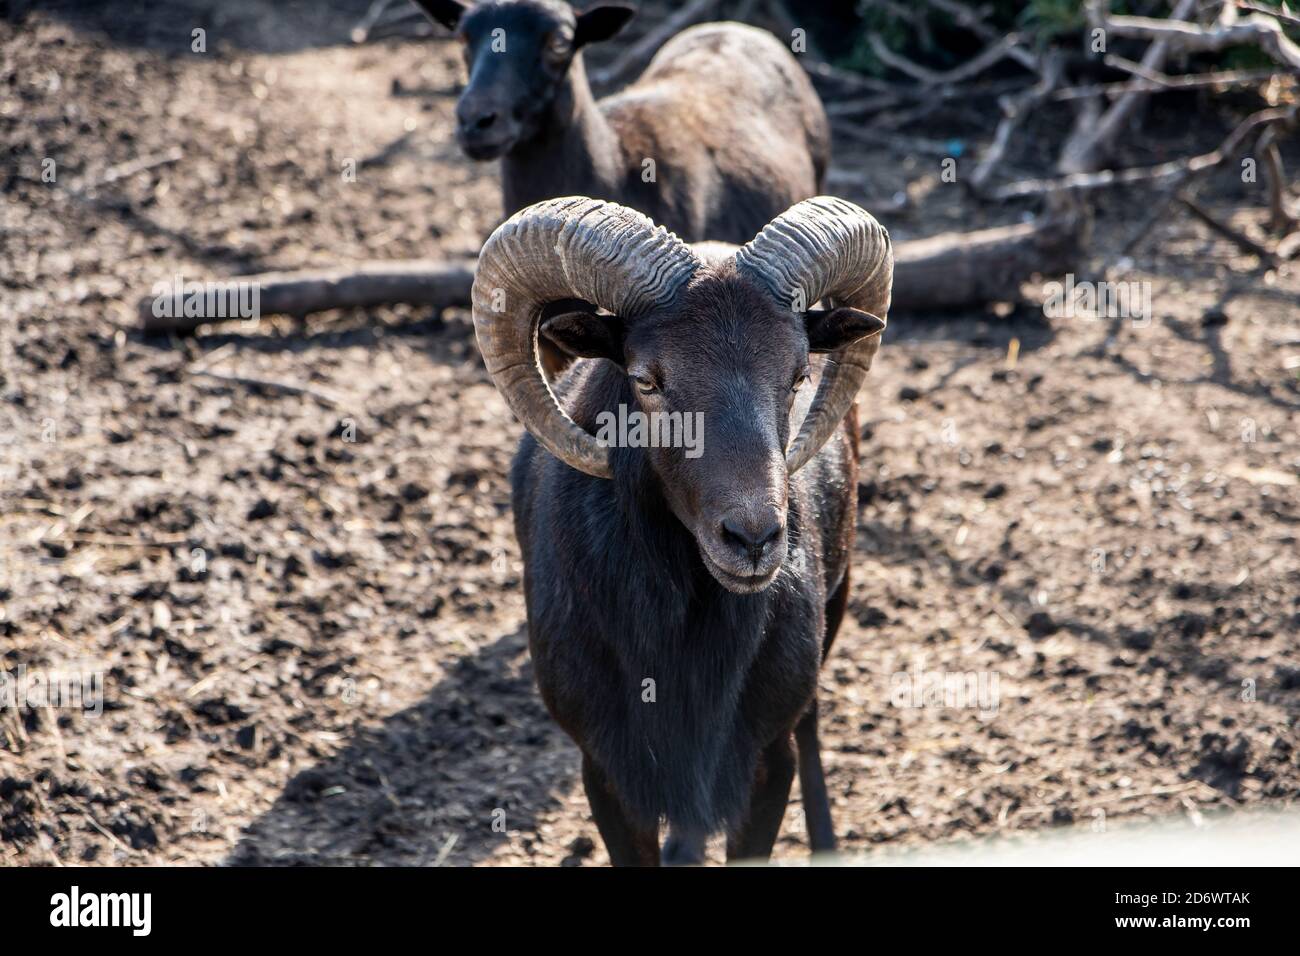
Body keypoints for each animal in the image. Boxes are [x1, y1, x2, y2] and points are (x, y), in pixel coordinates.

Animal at [471, 194, 893, 865]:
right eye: (647, 380)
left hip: (838, 597)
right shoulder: (608, 773)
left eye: (798, 376)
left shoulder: (766, 763)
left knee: (812, 723)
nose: (753, 539)